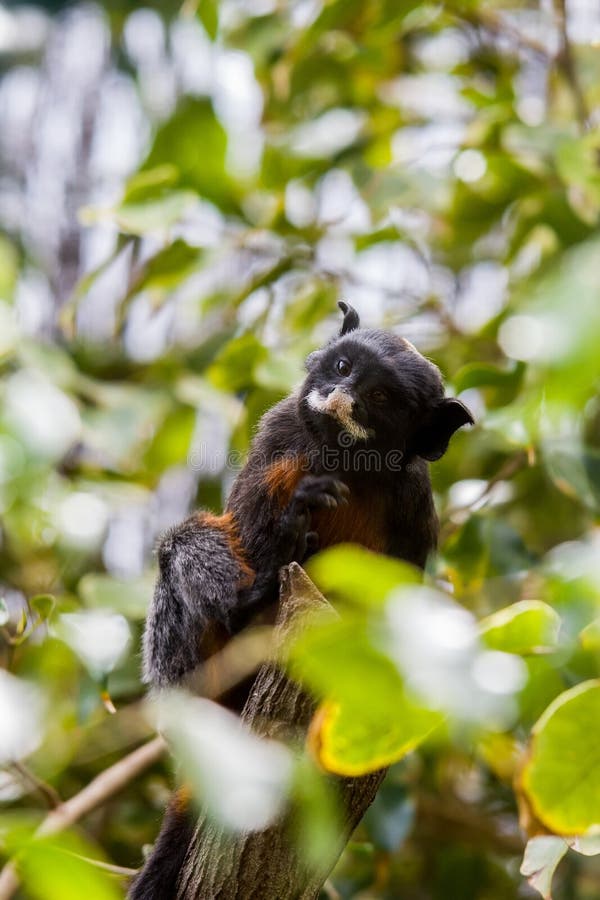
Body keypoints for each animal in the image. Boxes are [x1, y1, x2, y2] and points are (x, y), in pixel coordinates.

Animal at [129, 301, 474, 898]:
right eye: (342, 366)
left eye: (379, 396)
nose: (341, 393)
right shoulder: (279, 434)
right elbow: (247, 525)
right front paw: (286, 535)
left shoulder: (413, 500)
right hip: (191, 678)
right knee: (184, 543)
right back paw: (254, 595)